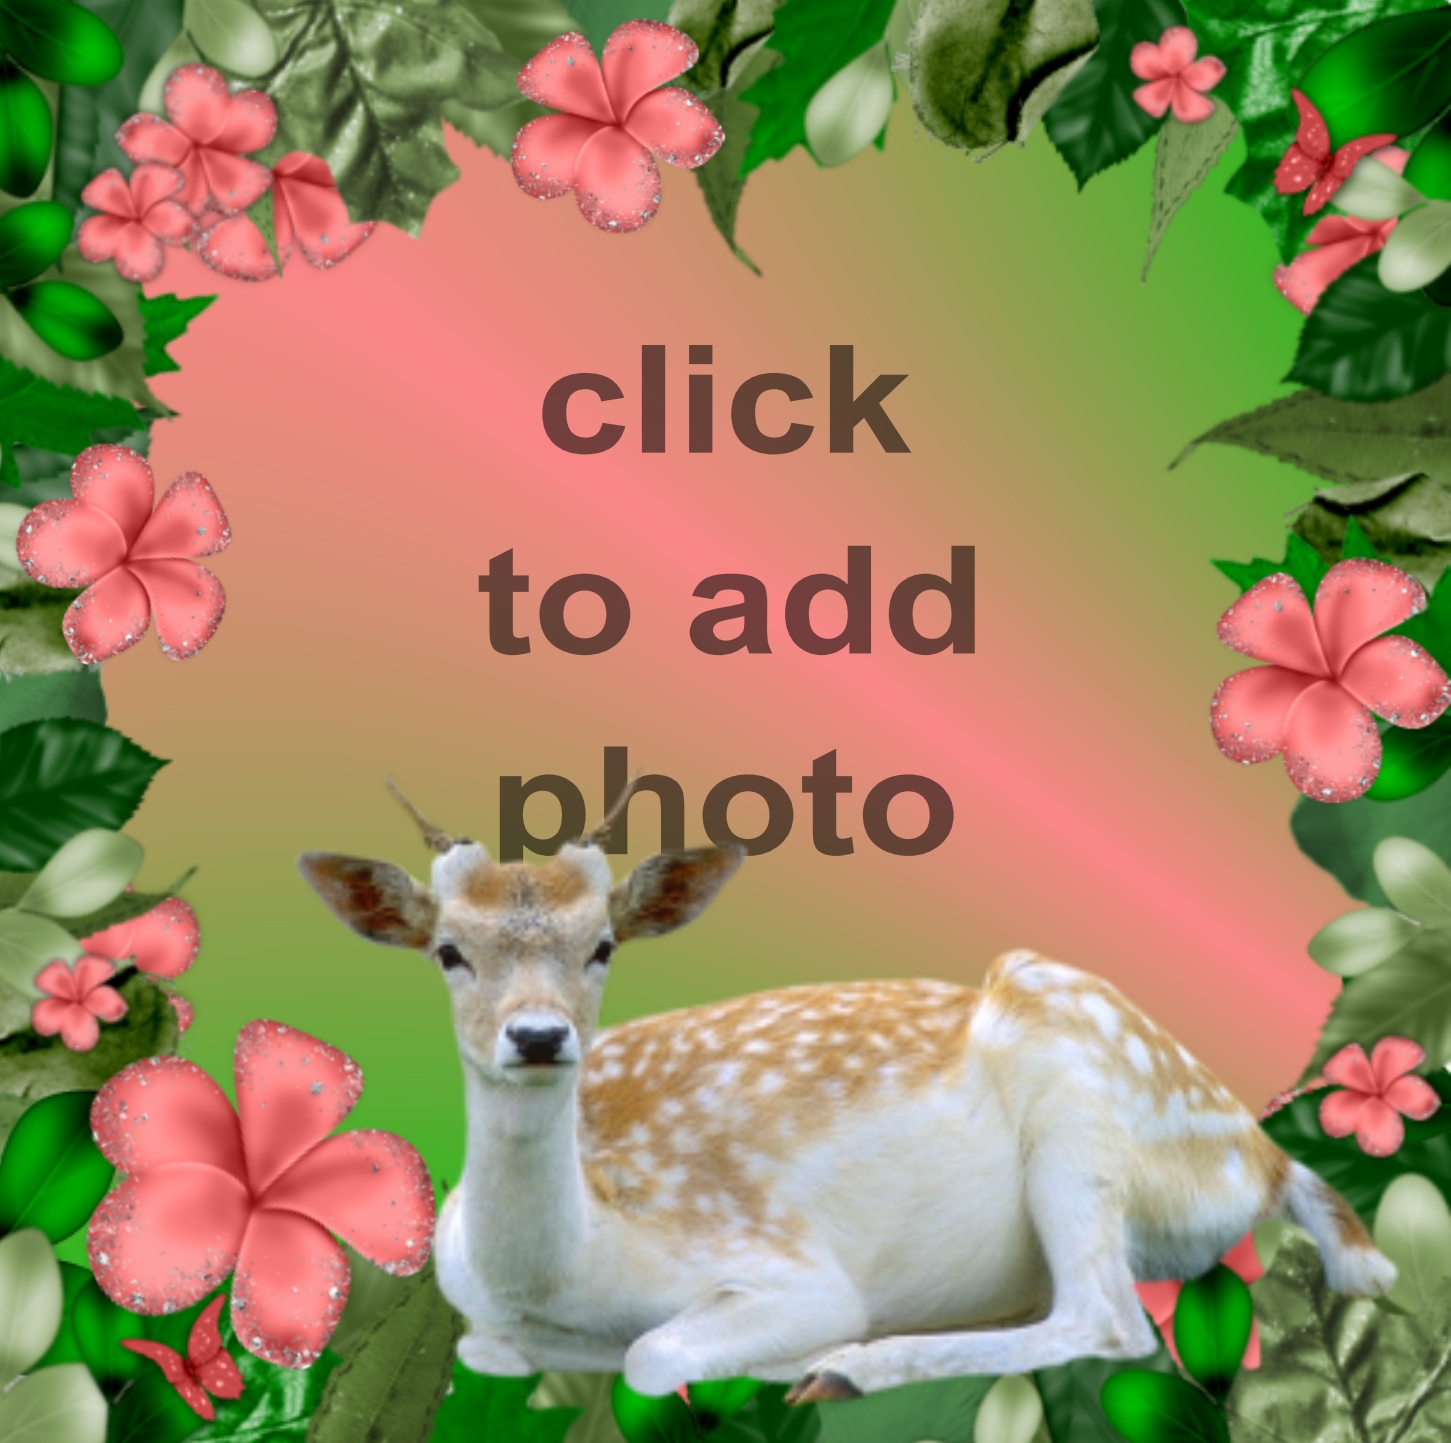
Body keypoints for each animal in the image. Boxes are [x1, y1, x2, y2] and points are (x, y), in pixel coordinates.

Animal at [297, 781, 1396, 1403]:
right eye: (448, 951)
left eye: (602, 944)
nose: (536, 1036)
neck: (567, 1269)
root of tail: (1262, 1155)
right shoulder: (477, 1303)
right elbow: (492, 1350)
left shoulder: (786, 1265)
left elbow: (653, 1354)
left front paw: (779, 1356)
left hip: (1080, 1110)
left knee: (1110, 1321)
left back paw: (838, 1368)